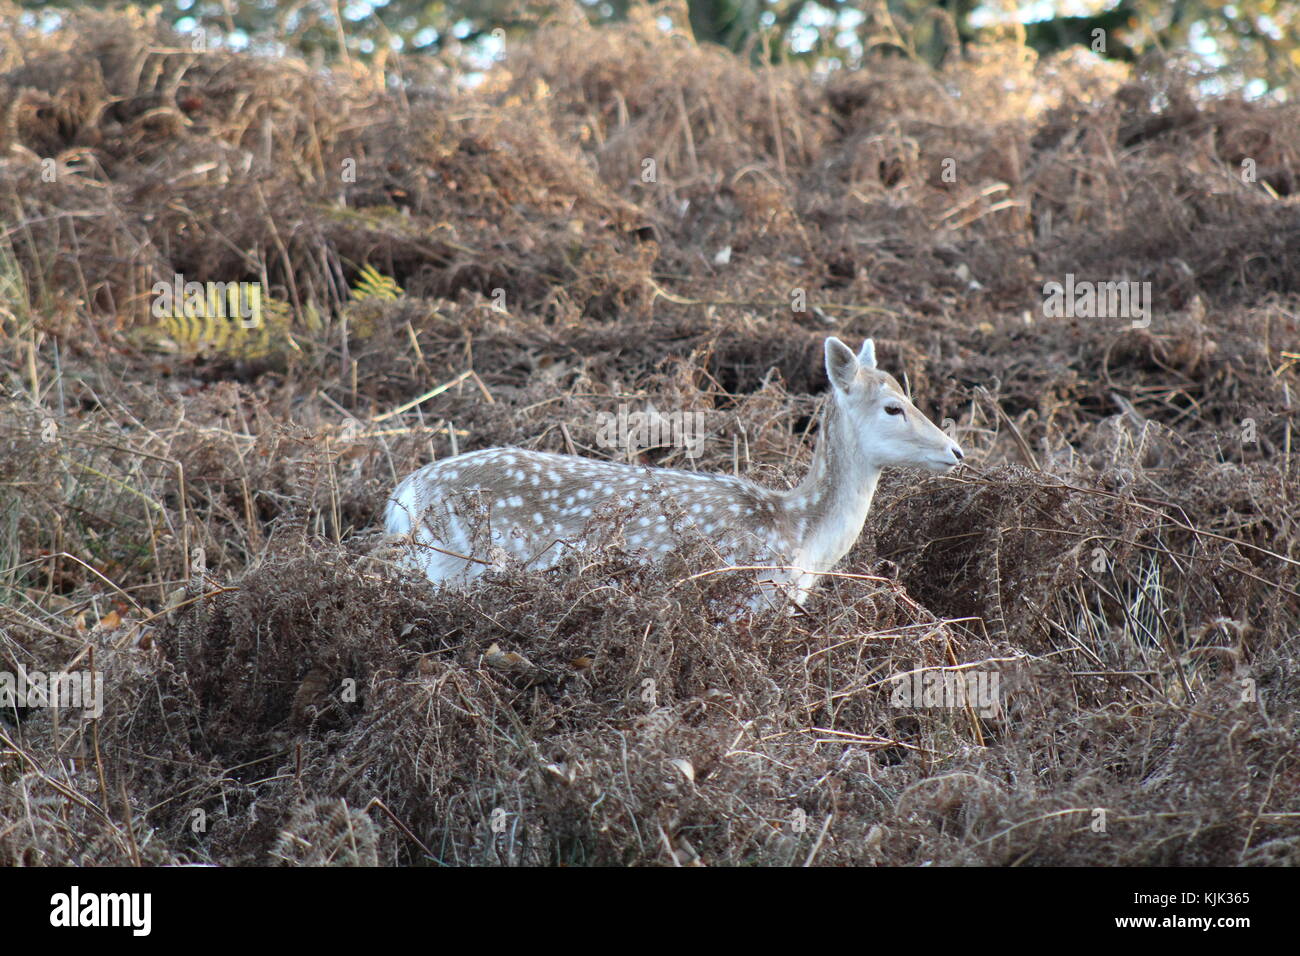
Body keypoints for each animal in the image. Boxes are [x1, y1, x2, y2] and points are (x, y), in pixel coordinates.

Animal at [383, 336, 964, 609]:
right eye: (893, 407)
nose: (956, 451)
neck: (800, 538)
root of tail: (400, 499)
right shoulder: (742, 601)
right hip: (449, 568)